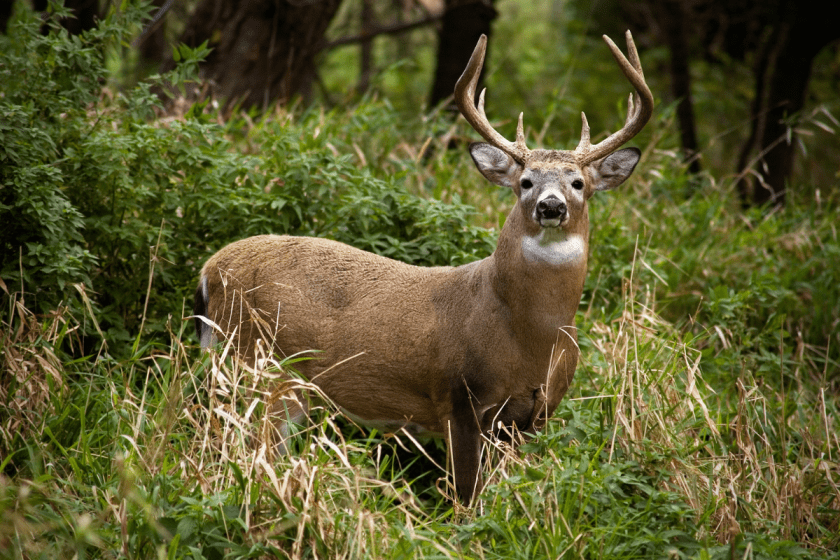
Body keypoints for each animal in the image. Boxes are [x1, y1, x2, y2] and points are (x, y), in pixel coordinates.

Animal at [193, 31, 653, 505]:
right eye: (525, 181)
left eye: (578, 182)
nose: (550, 206)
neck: (531, 336)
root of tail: (209, 271)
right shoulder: (458, 395)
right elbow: (467, 496)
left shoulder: (536, 413)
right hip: (255, 364)